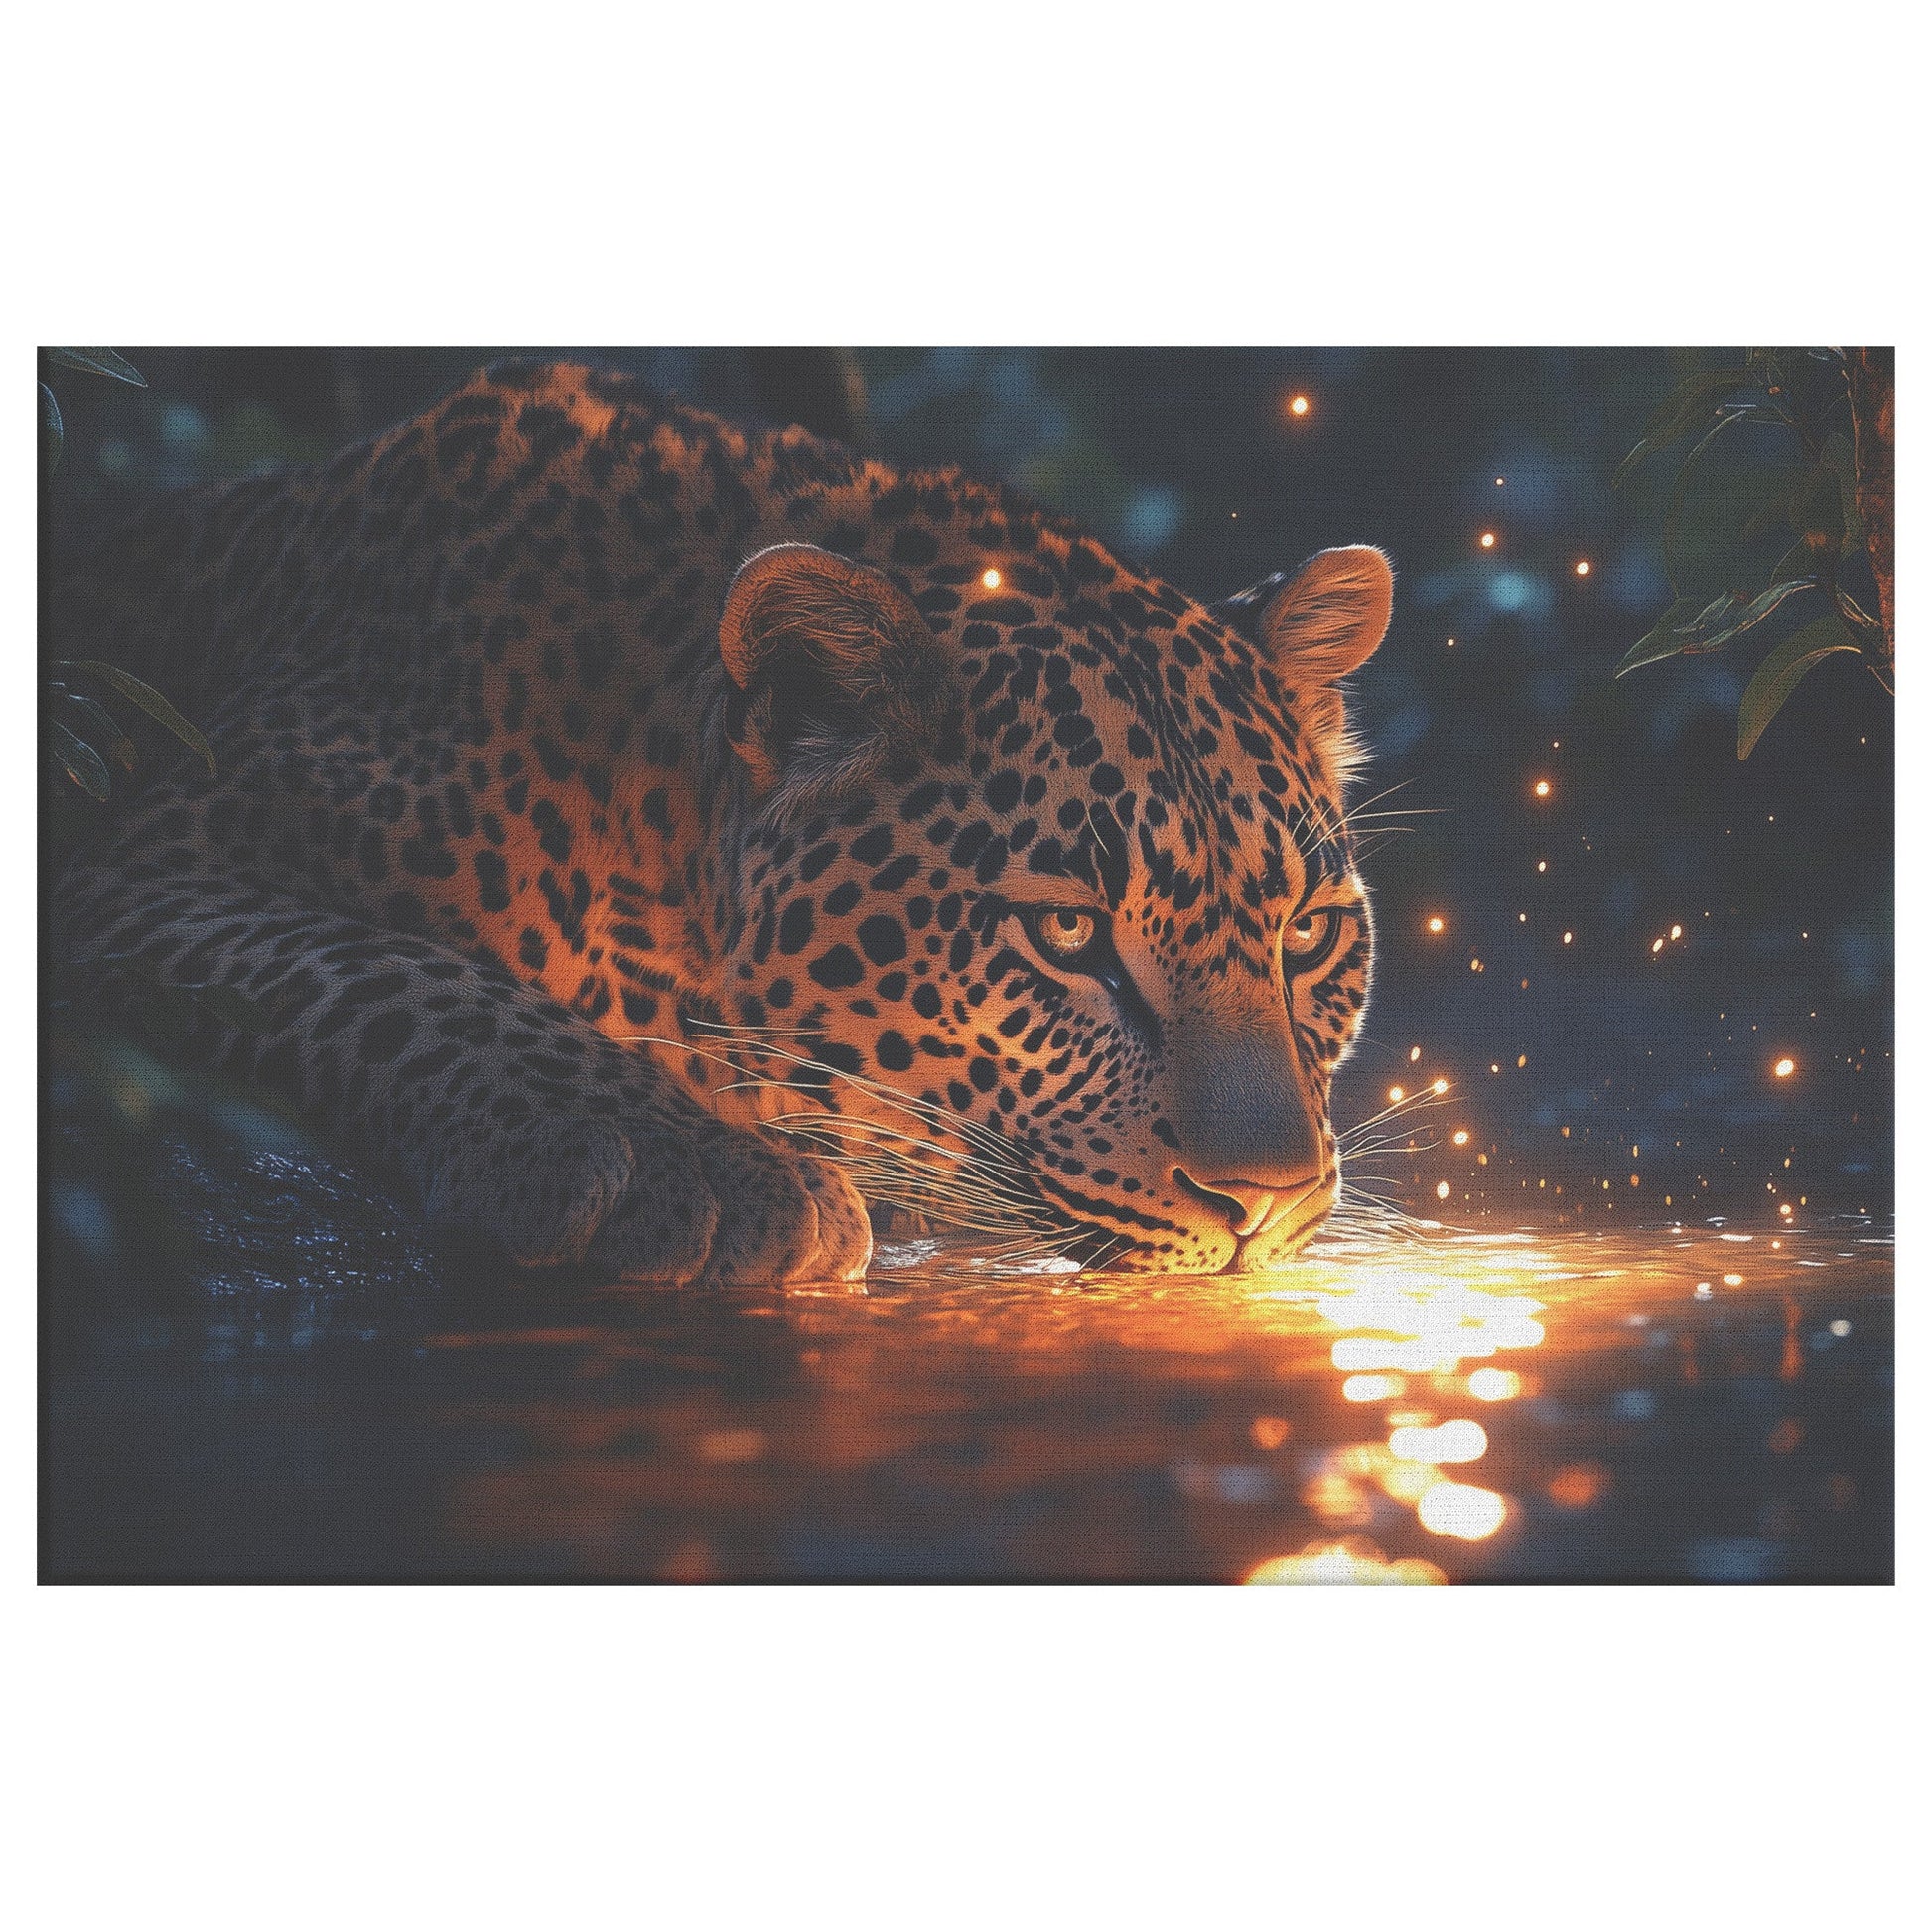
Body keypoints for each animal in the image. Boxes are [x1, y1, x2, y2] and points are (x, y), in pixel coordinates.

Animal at [51, 359, 1393, 1284]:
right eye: (1066, 937)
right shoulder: (150, 850)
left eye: (1309, 934)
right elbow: (397, 968)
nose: (1264, 1202)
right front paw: (670, 1157)